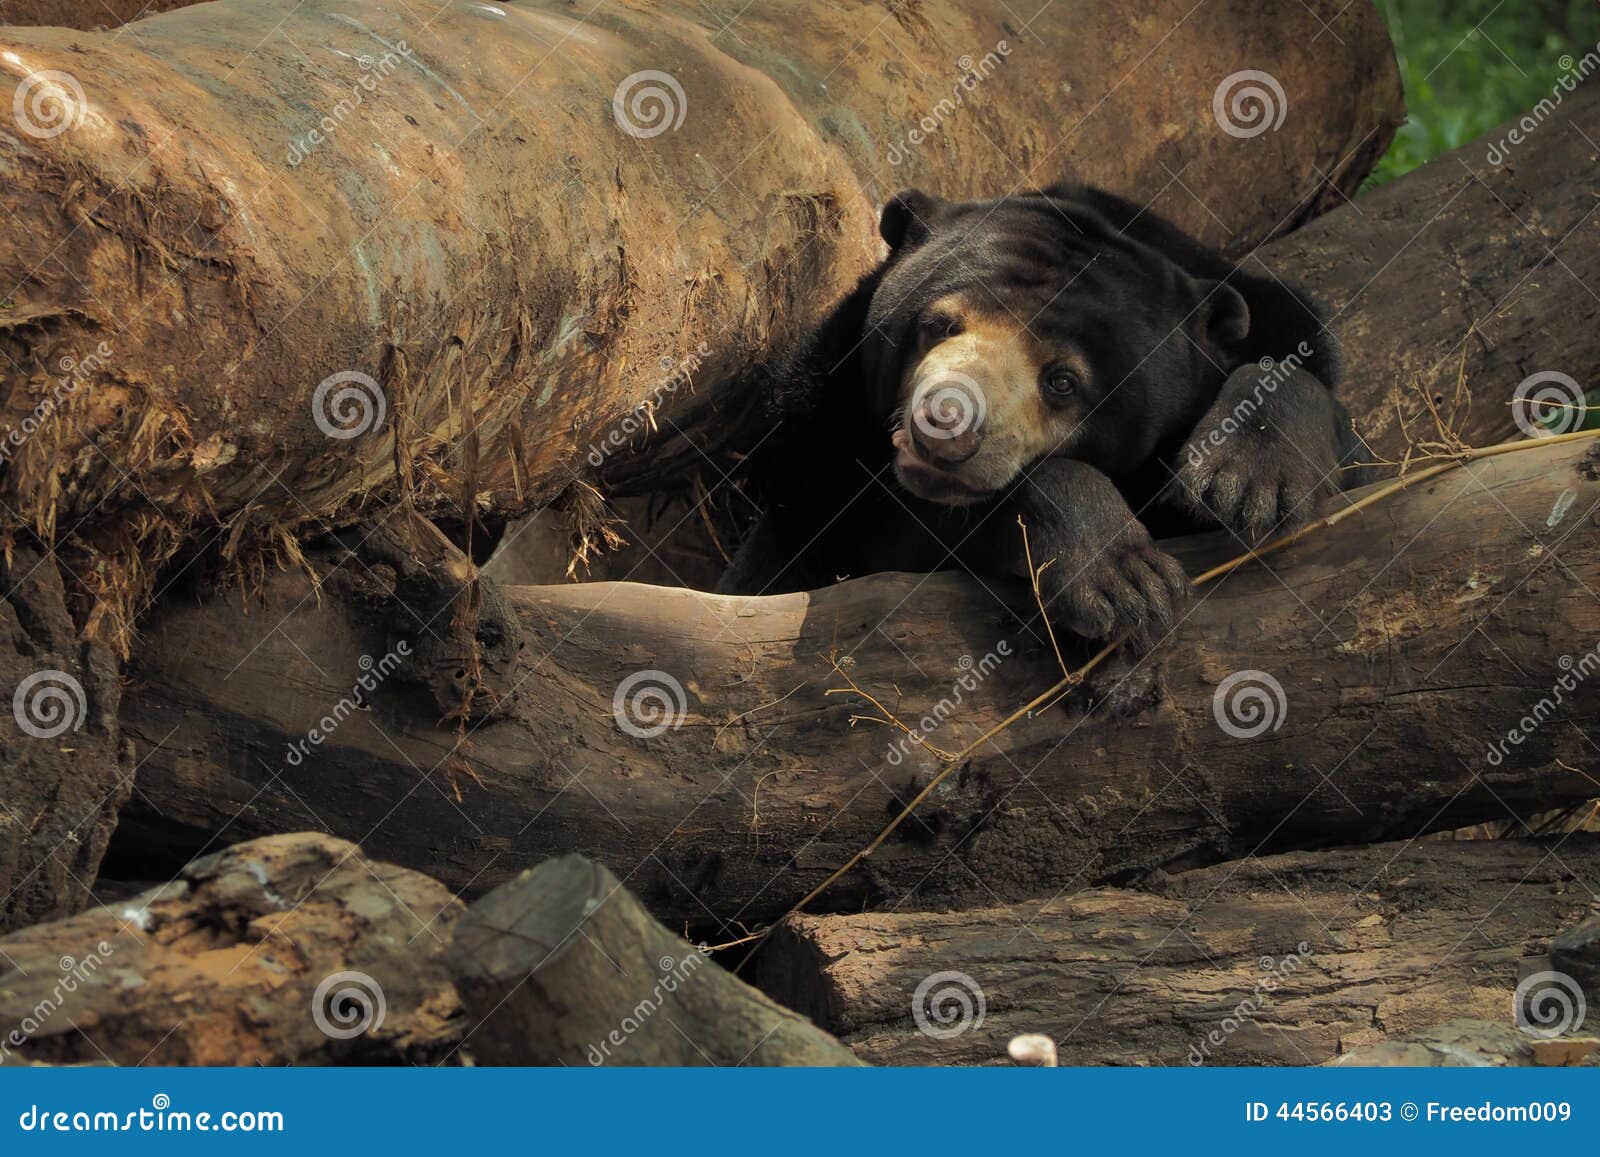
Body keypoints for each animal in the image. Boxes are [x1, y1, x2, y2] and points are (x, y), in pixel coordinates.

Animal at [716, 181, 1368, 647]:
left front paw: (1245, 483)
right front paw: (1124, 581)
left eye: (1062, 381)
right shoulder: (822, 440)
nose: (944, 428)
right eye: (940, 325)